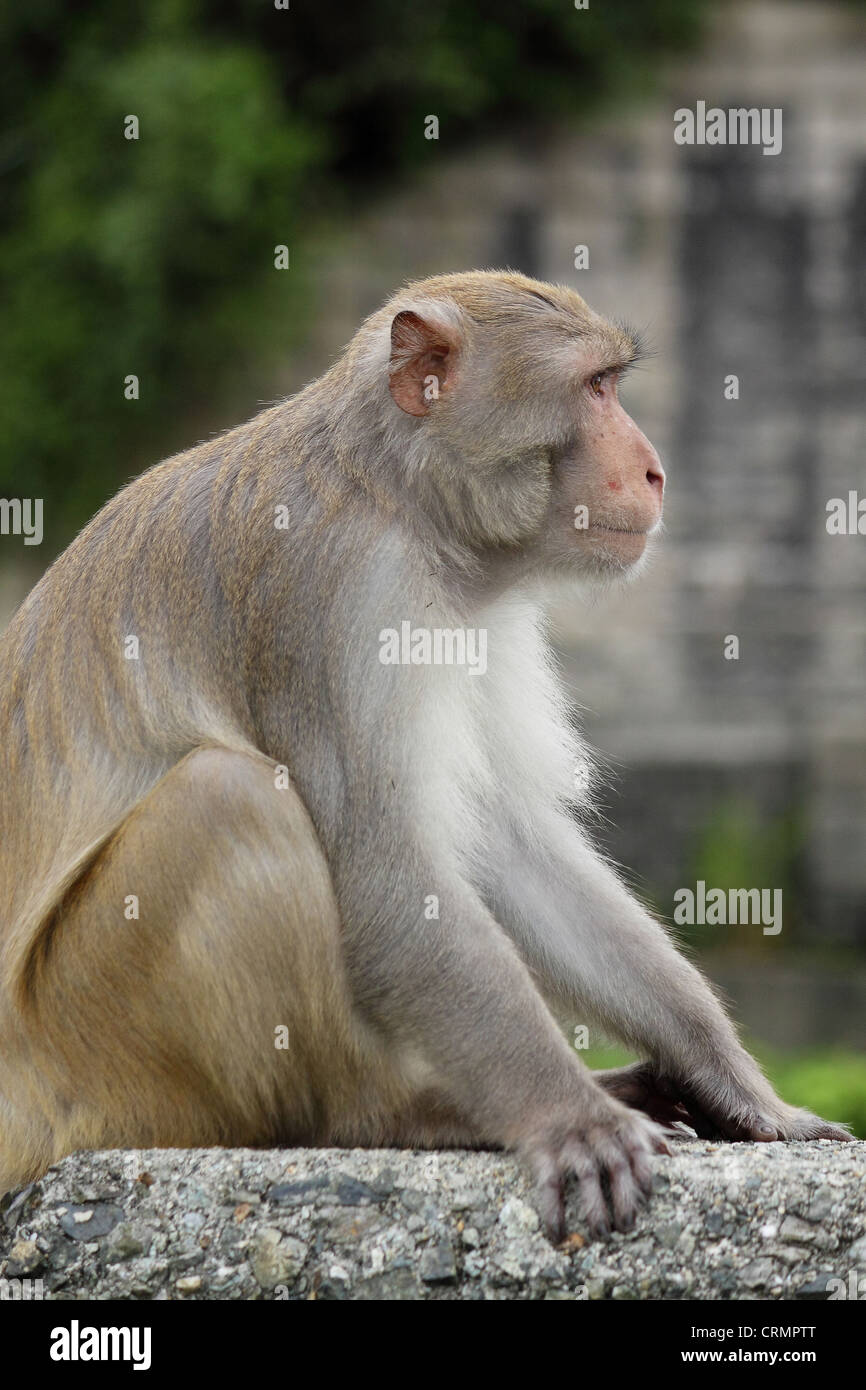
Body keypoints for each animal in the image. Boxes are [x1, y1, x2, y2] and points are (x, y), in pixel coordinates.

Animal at [0, 270, 850, 1243]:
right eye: (595, 387)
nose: (653, 468)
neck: (405, 503)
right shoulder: (336, 593)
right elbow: (389, 876)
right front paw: (572, 1119)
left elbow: (511, 850)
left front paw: (734, 1082)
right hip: (95, 1044)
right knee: (228, 795)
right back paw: (394, 1110)